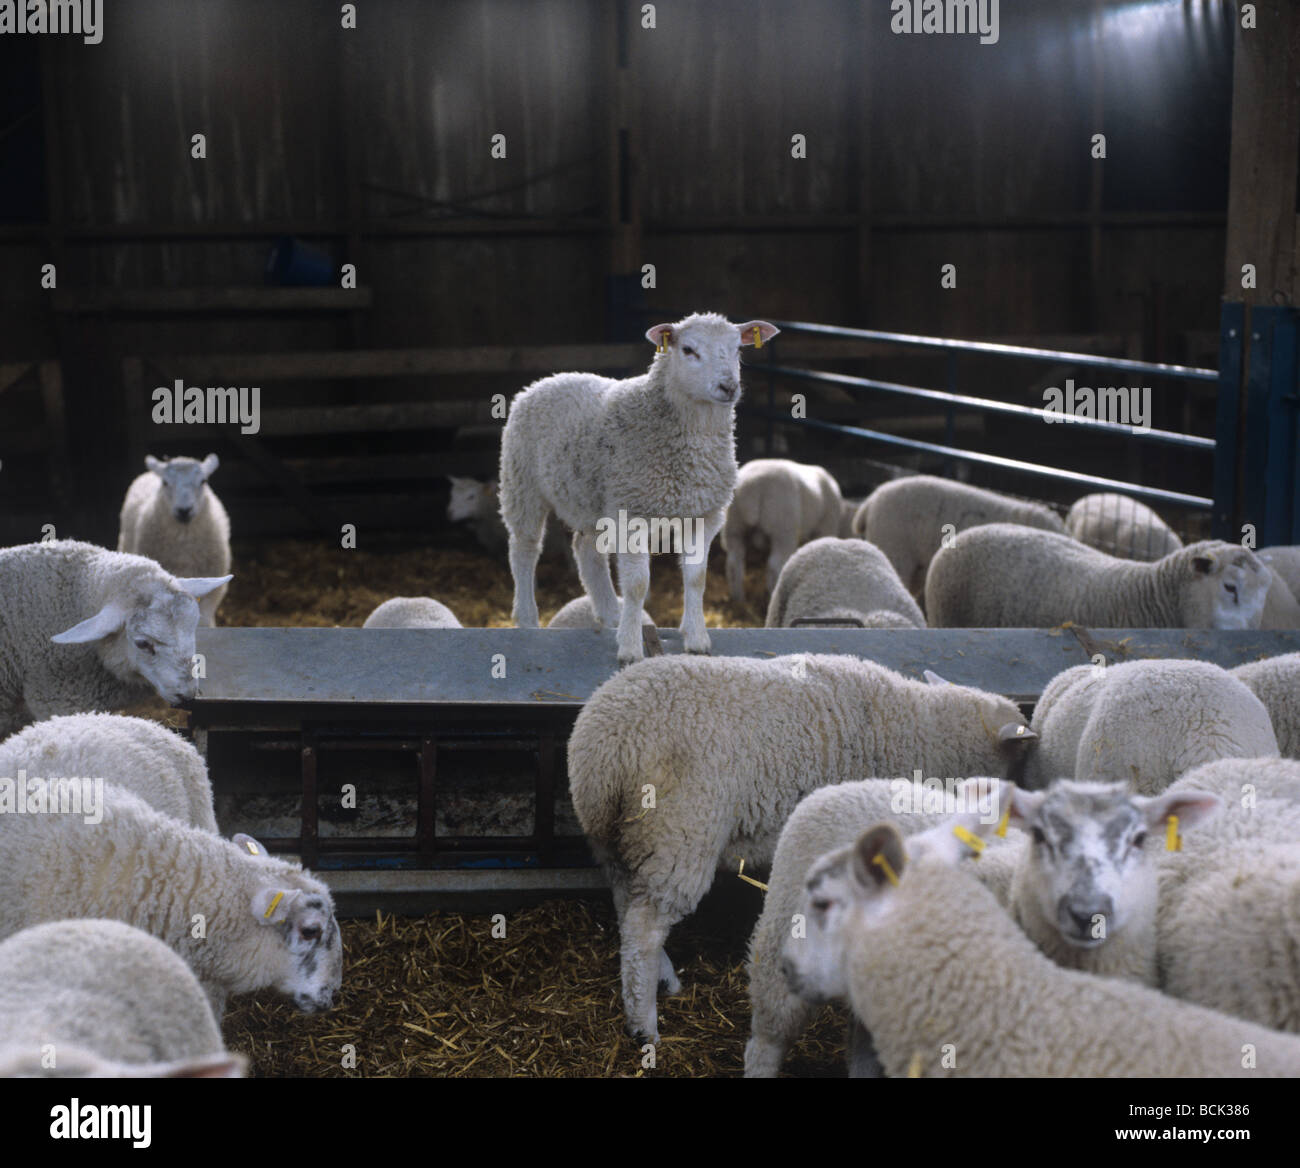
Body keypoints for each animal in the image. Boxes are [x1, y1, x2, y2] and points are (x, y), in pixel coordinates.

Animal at [500, 312, 778, 666]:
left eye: (737, 350)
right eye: (688, 350)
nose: (728, 387)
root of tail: (548, 379)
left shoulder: (703, 514)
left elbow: (697, 579)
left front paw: (696, 638)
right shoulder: (632, 513)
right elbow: (636, 585)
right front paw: (631, 649)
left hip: (595, 501)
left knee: (586, 550)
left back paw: (610, 614)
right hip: (522, 482)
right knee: (524, 549)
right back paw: (527, 618)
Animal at [567, 653, 1035, 1041]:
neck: (929, 734)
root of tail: (603, 751)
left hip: (620, 841)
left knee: (628, 910)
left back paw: (661, 979)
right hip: (678, 830)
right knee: (644, 929)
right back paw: (644, 1024)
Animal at [721, 459, 845, 603]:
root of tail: (752, 486)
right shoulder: (825, 527)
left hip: (734, 527)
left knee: (734, 564)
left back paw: (738, 599)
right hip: (782, 528)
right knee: (775, 566)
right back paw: (771, 594)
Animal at [744, 776, 1220, 1076]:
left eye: (1139, 839)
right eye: (1040, 836)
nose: (1088, 912)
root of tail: (842, 785)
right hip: (781, 947)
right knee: (765, 1041)